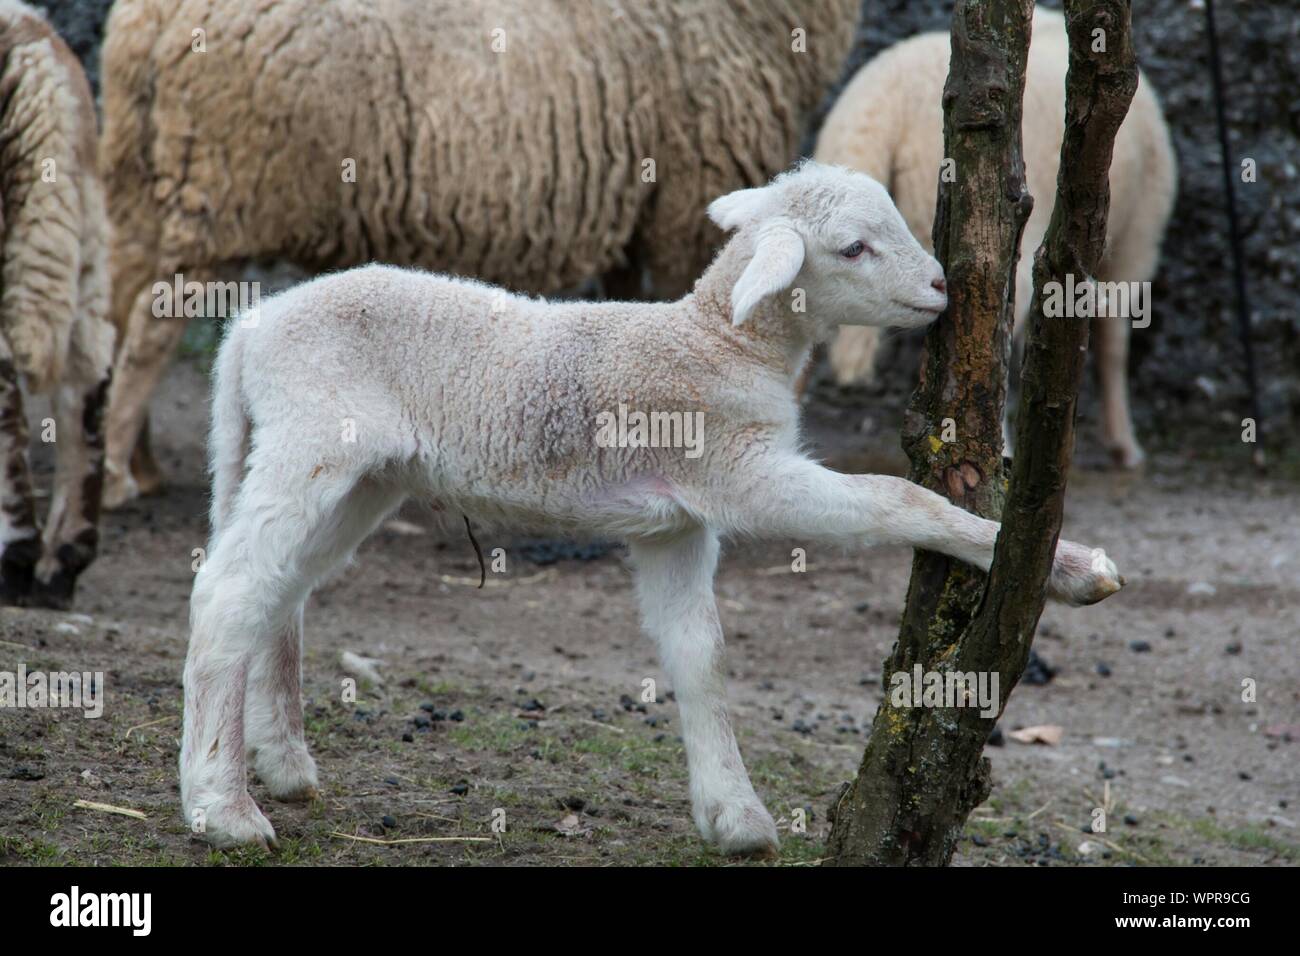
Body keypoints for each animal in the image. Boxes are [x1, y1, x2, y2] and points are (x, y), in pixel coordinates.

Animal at [97, 0, 862, 509]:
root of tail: (150, 26)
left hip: (142, 186)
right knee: (151, 332)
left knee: (119, 308)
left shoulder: (641, 209)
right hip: (222, 195)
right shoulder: (684, 199)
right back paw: (115, 477)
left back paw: (132, 463)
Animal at [180, 162, 1125, 853]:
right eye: (855, 248)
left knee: (281, 594)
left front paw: (734, 817)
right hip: (311, 443)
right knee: (228, 591)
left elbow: (699, 656)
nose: (937, 288)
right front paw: (1066, 565)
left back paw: (282, 761)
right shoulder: (741, 473)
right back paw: (222, 806)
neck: (720, 337)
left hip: (359, 476)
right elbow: (893, 498)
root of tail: (247, 332)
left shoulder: (678, 521)